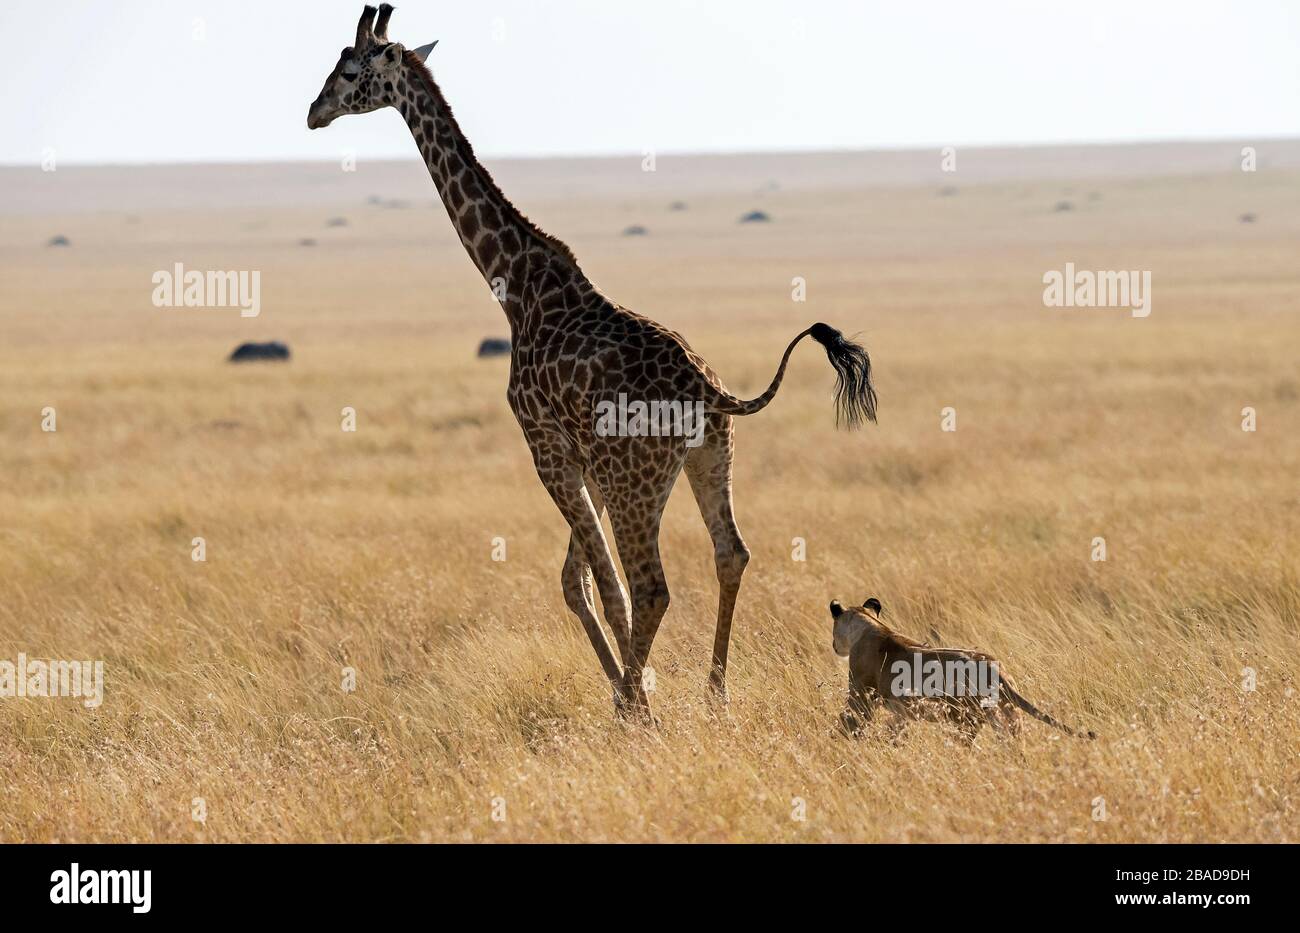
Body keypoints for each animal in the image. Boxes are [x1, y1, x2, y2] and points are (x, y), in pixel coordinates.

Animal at [830, 598, 1094, 740]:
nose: (833, 646)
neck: (869, 626)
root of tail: (996, 671)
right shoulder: (902, 712)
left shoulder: (861, 694)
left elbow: (851, 720)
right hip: (1006, 719)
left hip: (964, 718)